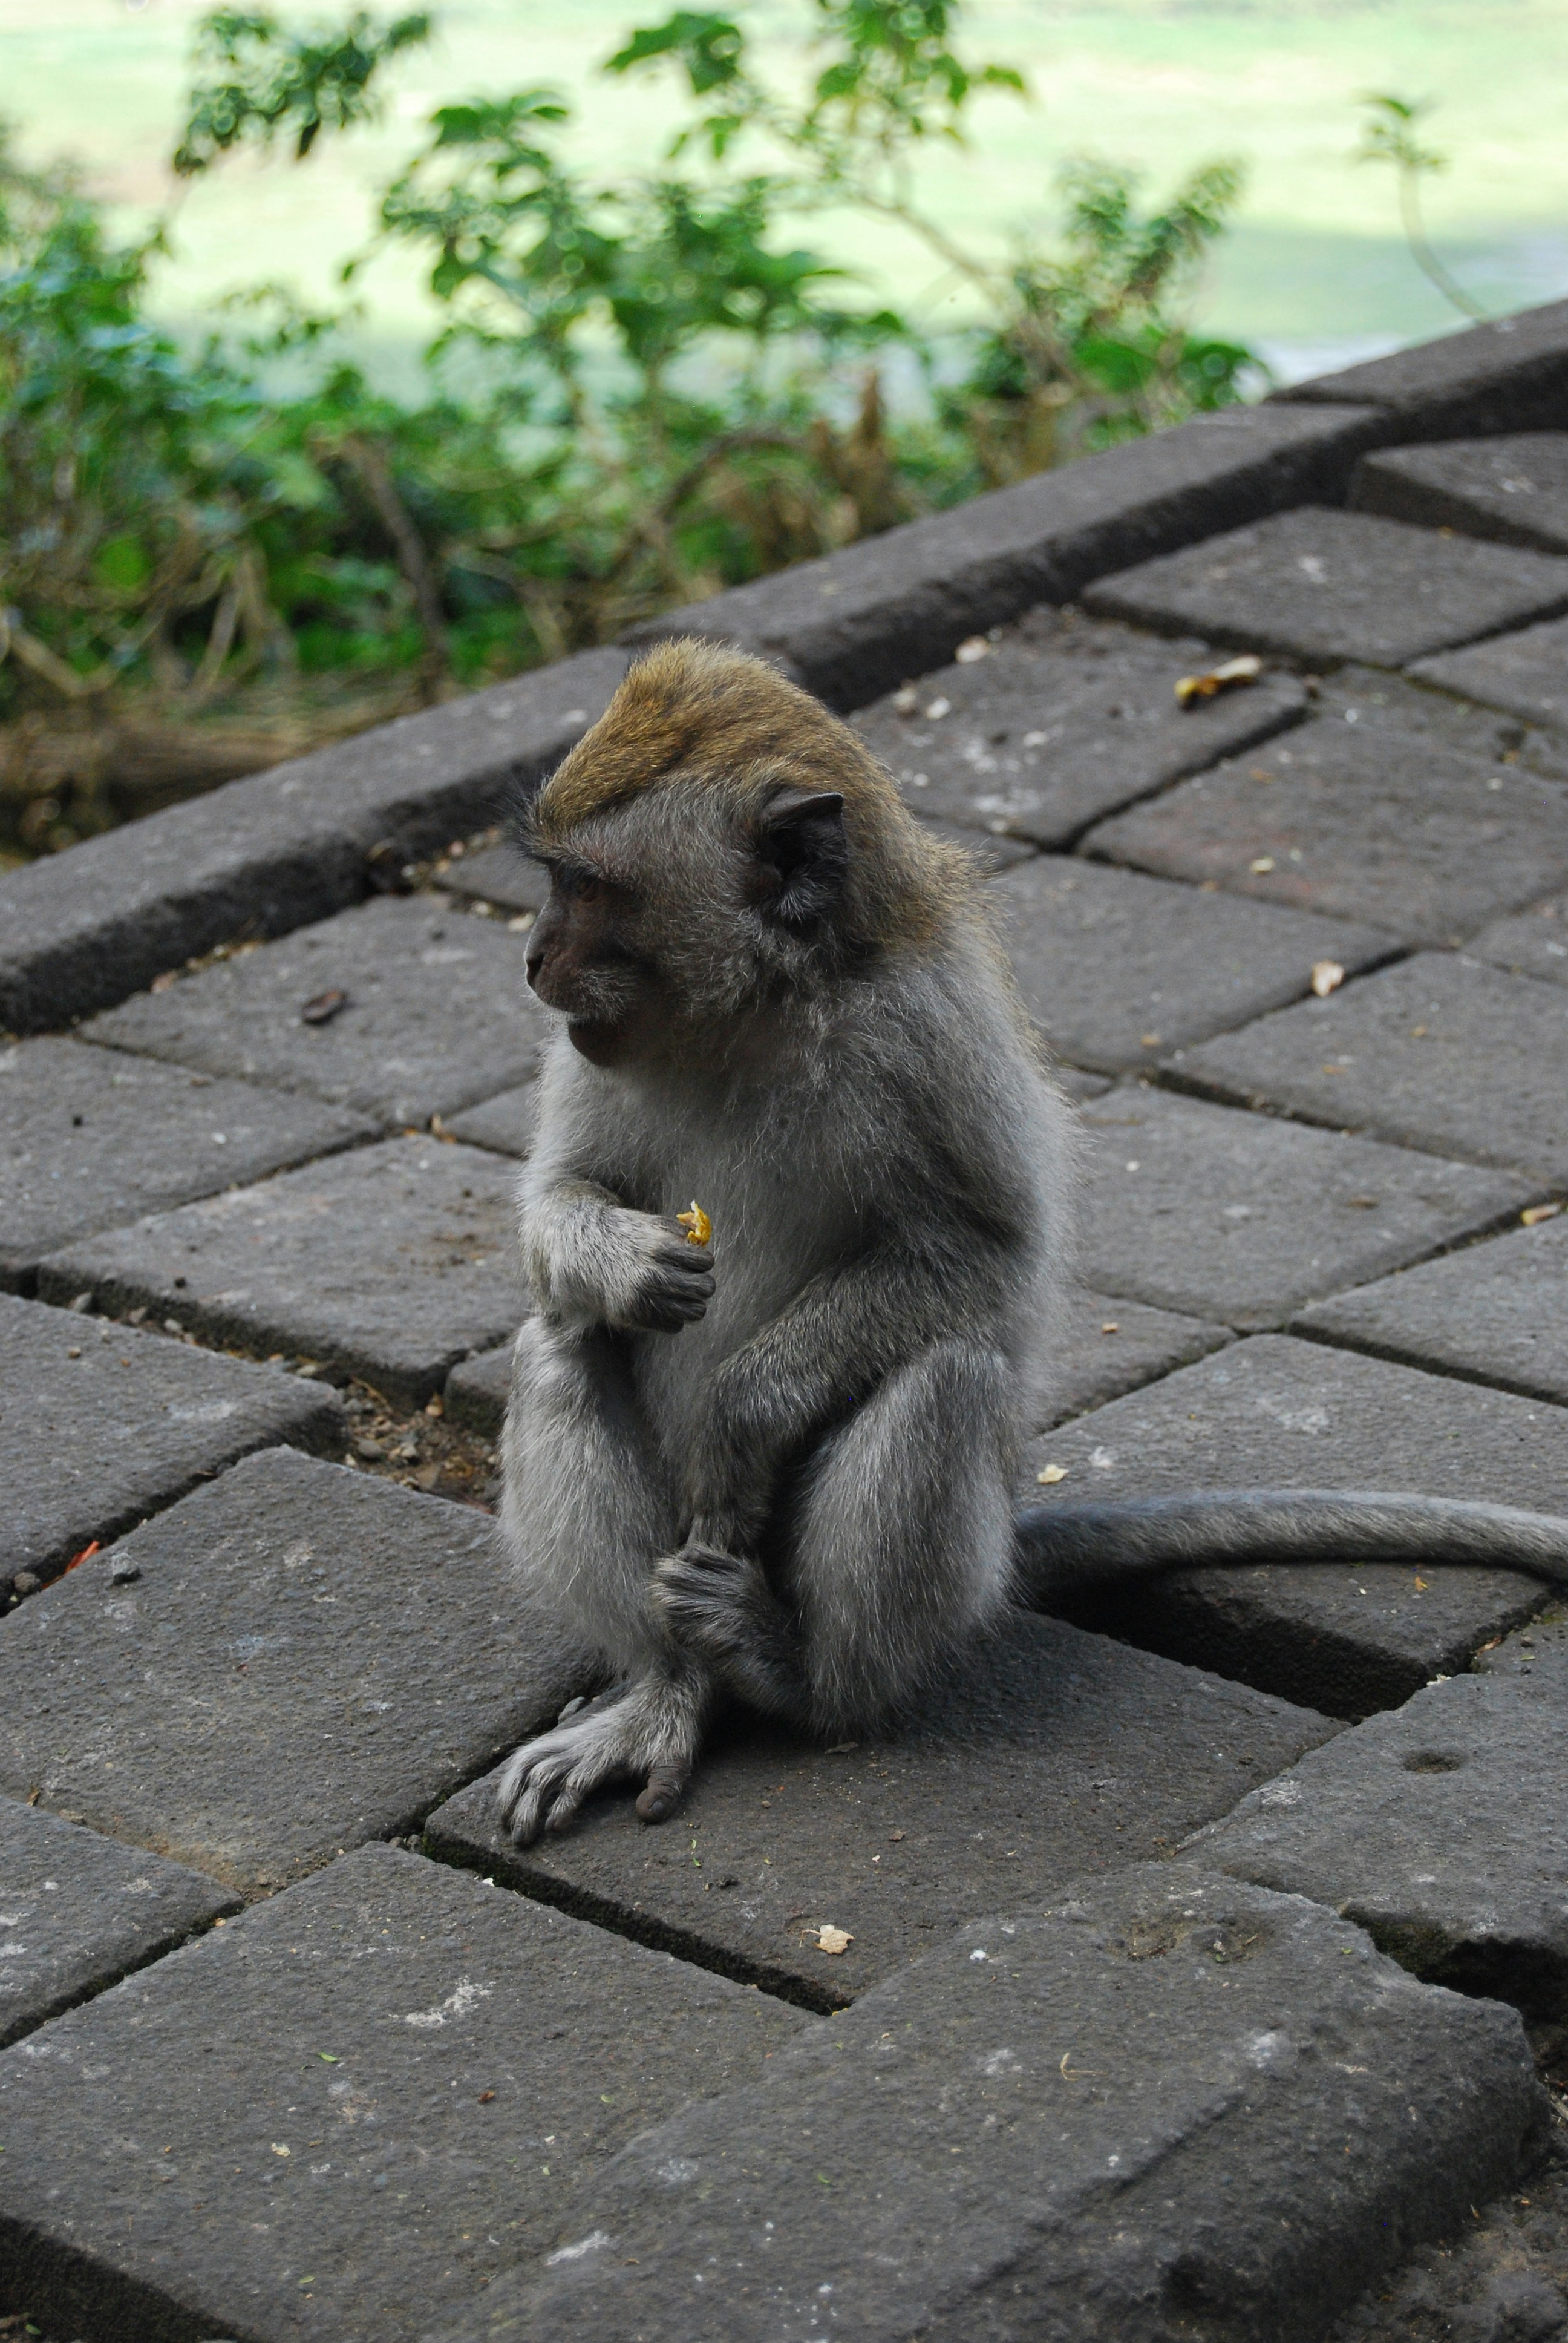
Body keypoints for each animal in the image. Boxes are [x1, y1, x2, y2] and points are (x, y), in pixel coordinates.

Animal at [491, 639, 1568, 1846]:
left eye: (590, 886)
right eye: (556, 880)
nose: (533, 957)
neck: (756, 1012)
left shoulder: (924, 1034)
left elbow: (983, 1252)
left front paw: (743, 1412)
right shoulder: (587, 1047)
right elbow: (556, 1196)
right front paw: (622, 1263)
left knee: (944, 1377)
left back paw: (794, 1672)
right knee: (559, 1346)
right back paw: (670, 1688)